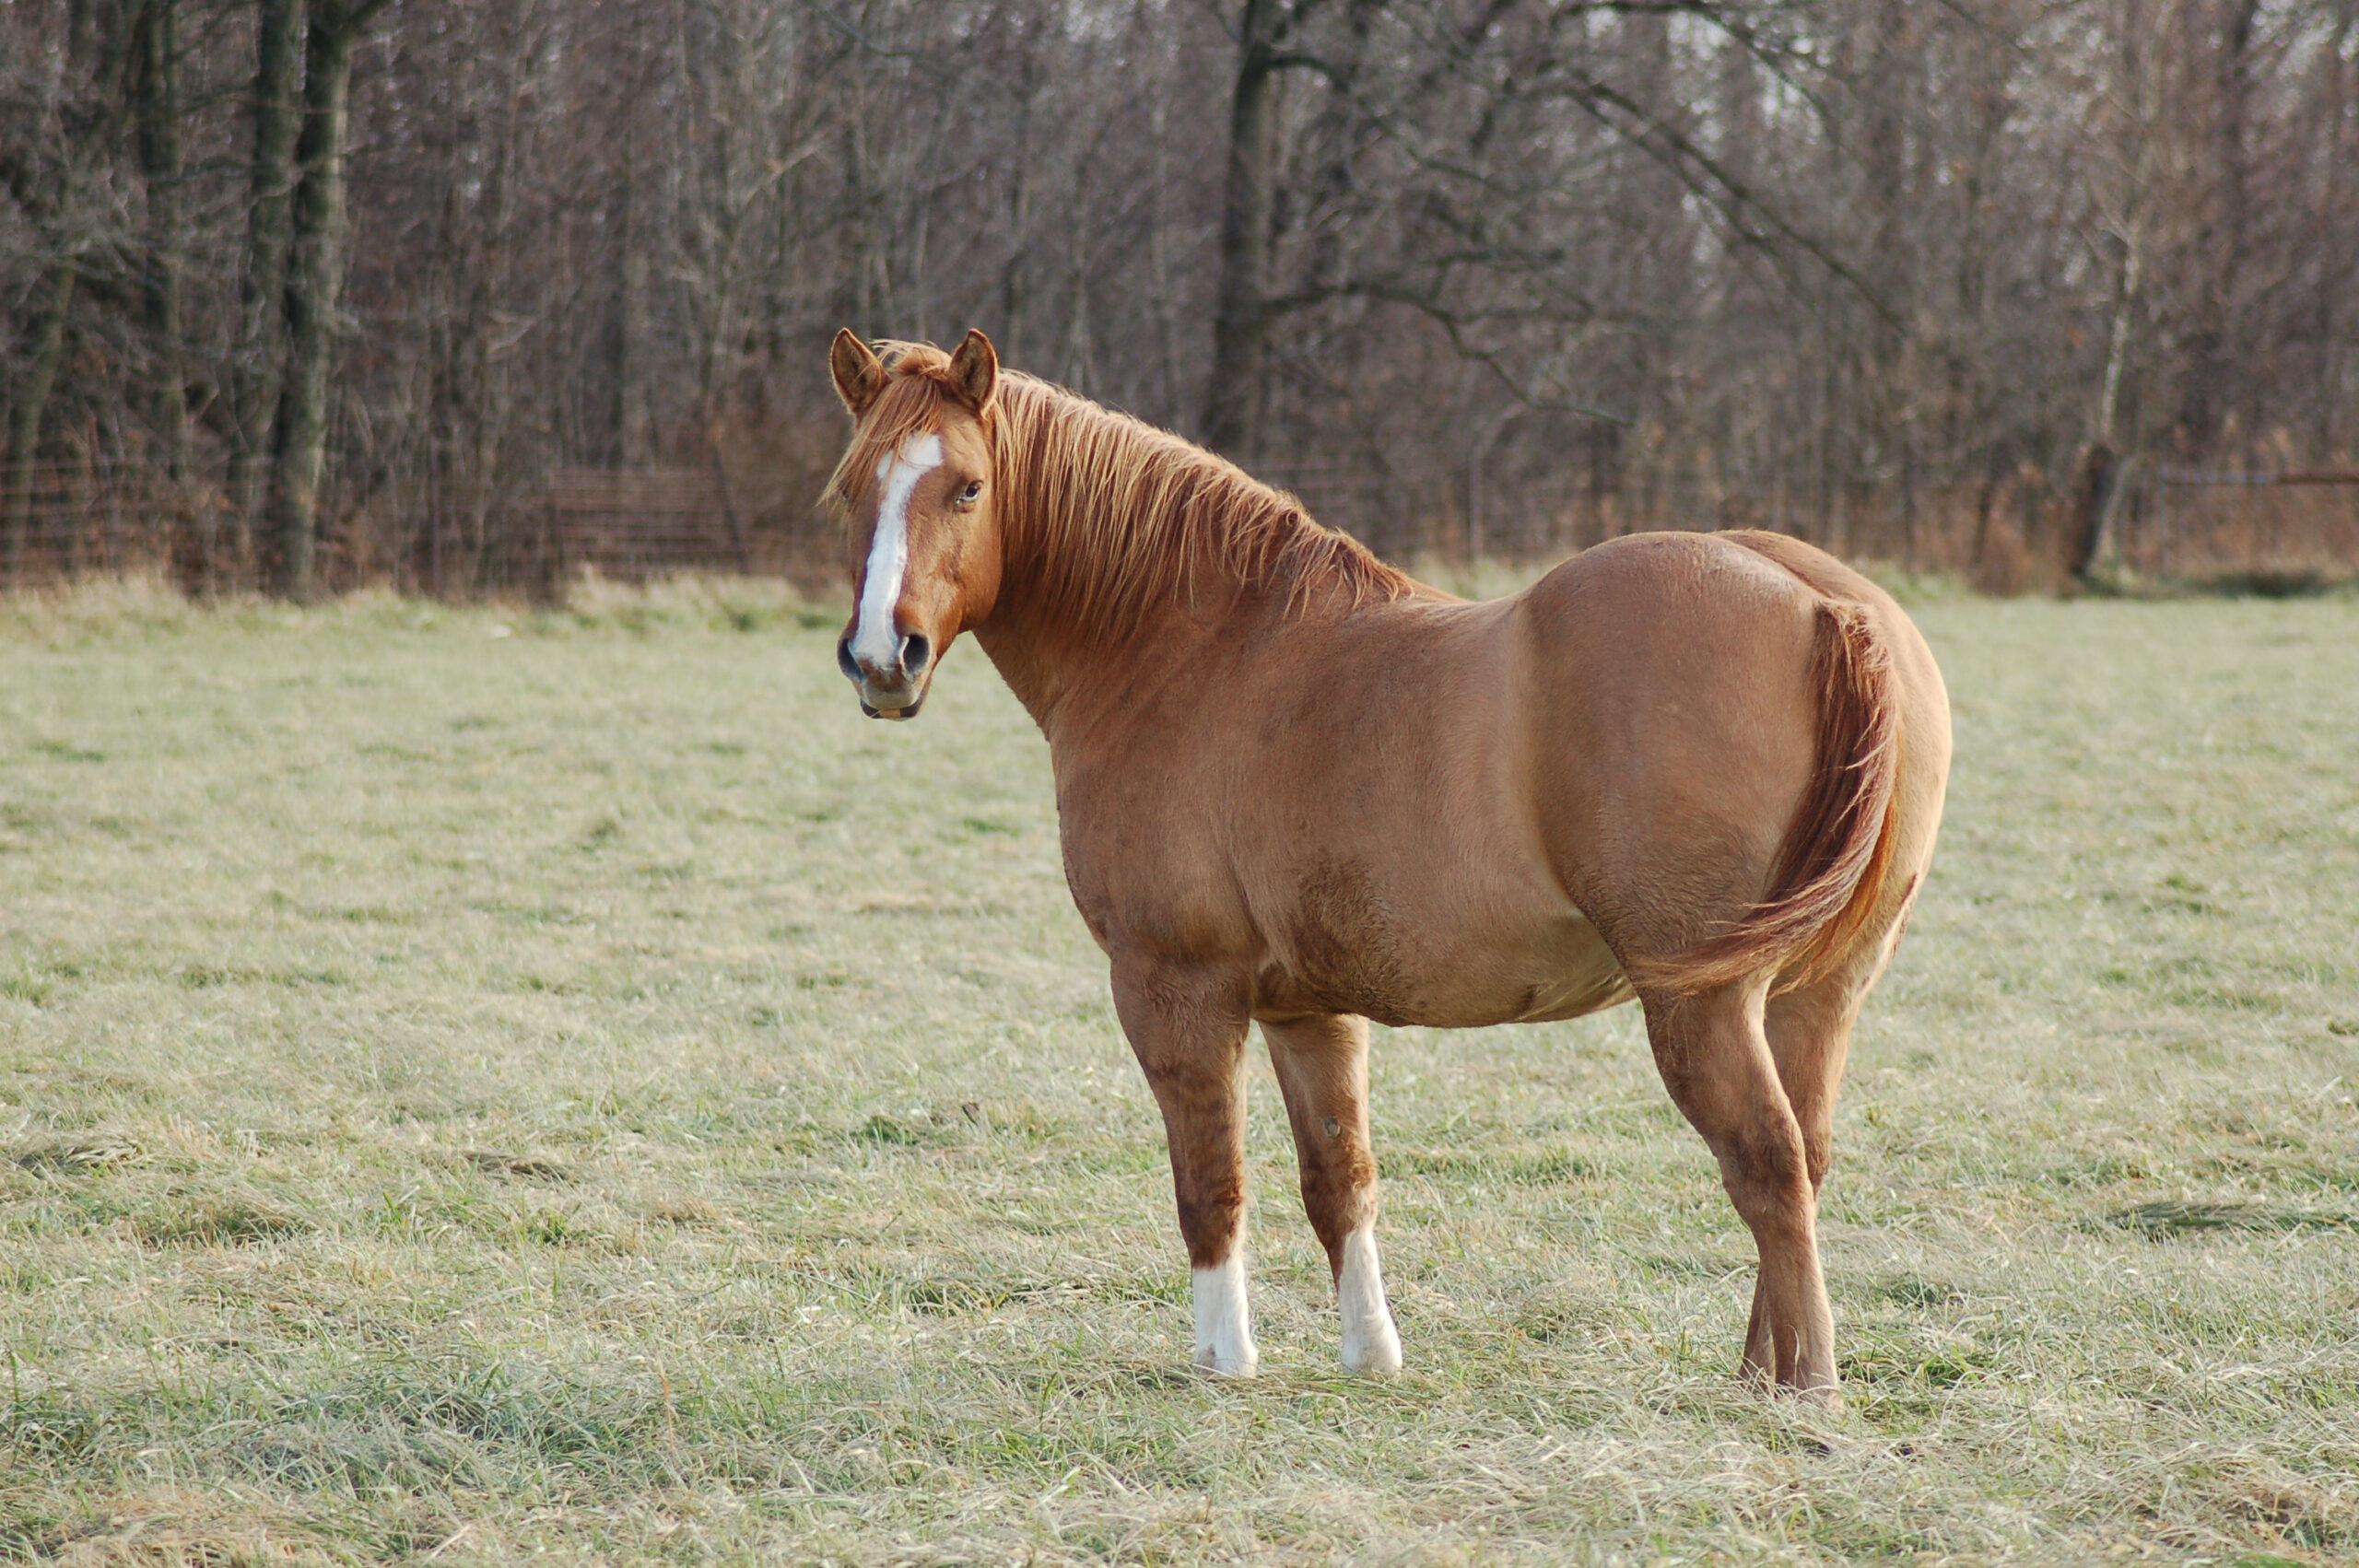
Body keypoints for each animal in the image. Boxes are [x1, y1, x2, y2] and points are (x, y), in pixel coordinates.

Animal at [821, 328, 1950, 1402]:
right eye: (850, 490)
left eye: (968, 485)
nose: (882, 661)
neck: (1194, 650)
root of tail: (1824, 605)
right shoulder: (1306, 1007)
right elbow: (1340, 1178)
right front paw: (1371, 1355)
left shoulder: (1173, 987)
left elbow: (1210, 1182)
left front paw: (1223, 1361)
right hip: (1816, 996)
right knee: (1805, 1155)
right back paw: (1763, 1371)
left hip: (1704, 1002)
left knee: (1765, 1163)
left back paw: (1806, 1390)